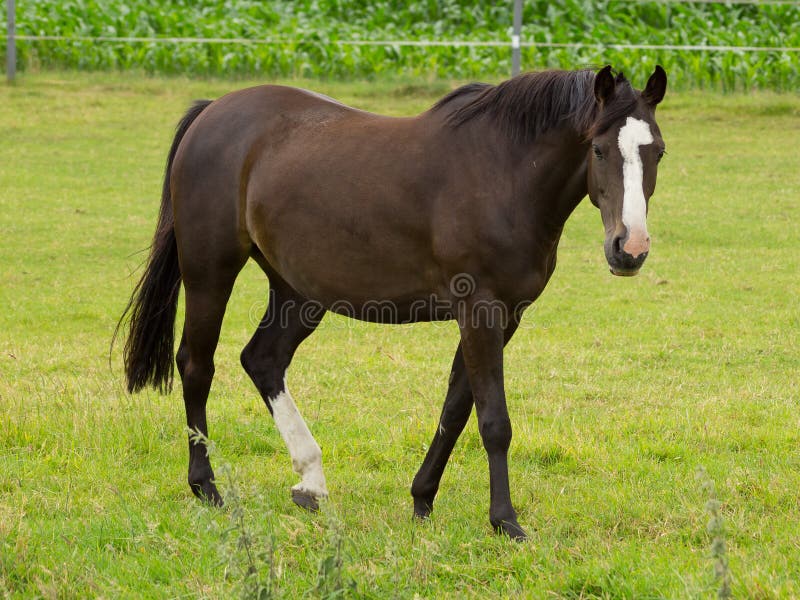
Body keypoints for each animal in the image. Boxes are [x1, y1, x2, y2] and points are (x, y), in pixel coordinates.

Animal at [118, 65, 667, 540]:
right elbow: (493, 420)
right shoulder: (480, 311)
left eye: (657, 151)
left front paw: (423, 498)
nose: (630, 249)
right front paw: (505, 521)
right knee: (197, 365)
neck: (503, 172)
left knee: (262, 361)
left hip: (297, 292)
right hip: (210, 273)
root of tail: (212, 112)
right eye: (599, 149)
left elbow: (456, 407)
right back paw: (206, 486)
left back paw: (311, 481)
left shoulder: (505, 316)